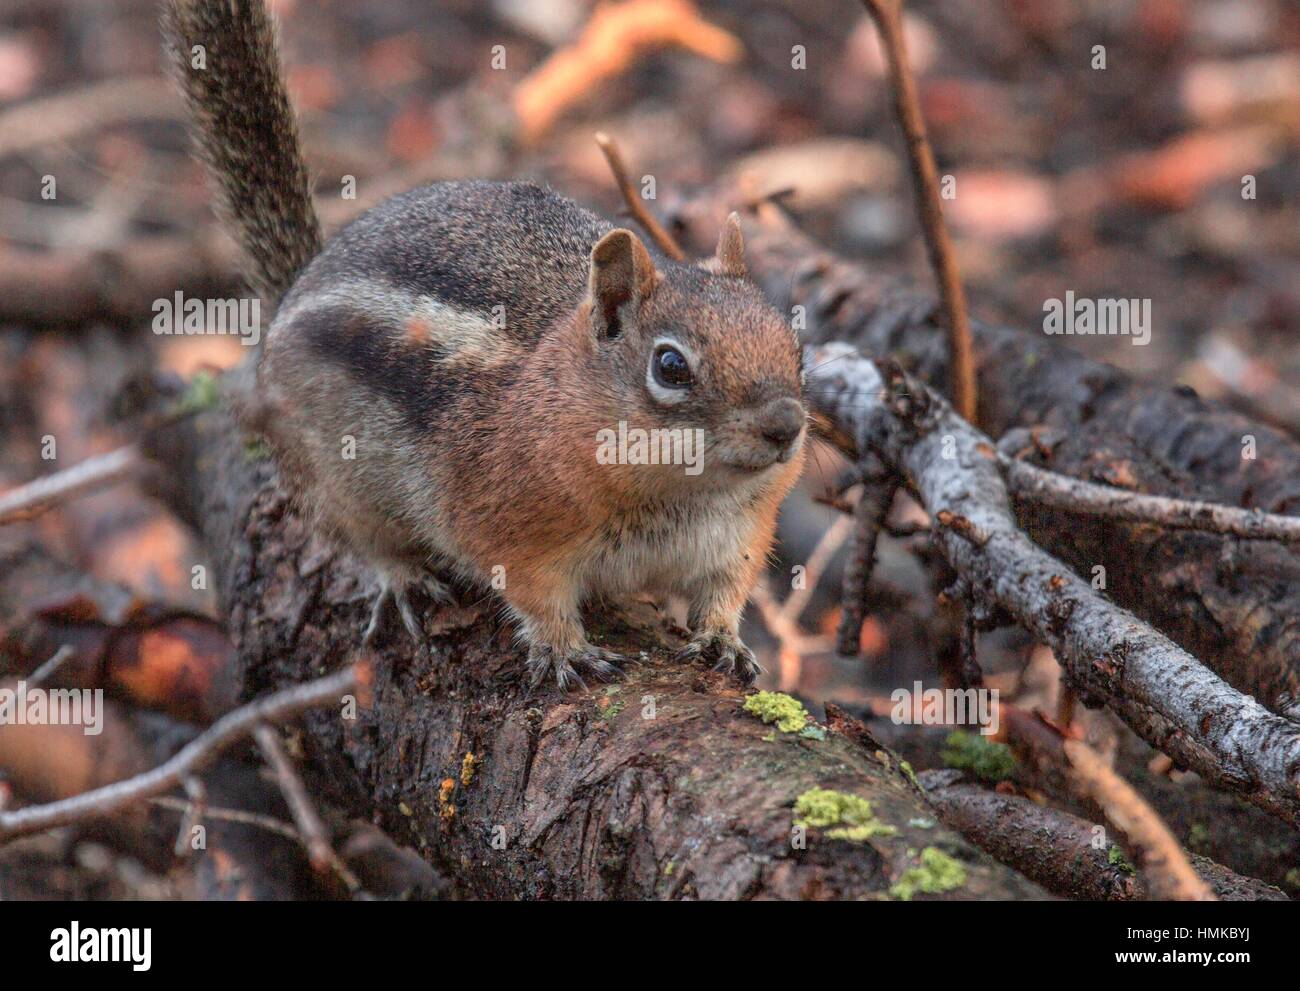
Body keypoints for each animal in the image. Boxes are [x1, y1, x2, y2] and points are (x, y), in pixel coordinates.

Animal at [161, 0, 807, 689]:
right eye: (670, 366)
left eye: (795, 346)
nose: (785, 426)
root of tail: (294, 288)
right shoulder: (515, 534)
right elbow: (536, 597)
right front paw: (564, 649)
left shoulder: (738, 540)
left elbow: (725, 593)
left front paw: (724, 641)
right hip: (332, 481)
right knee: (360, 539)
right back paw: (405, 579)